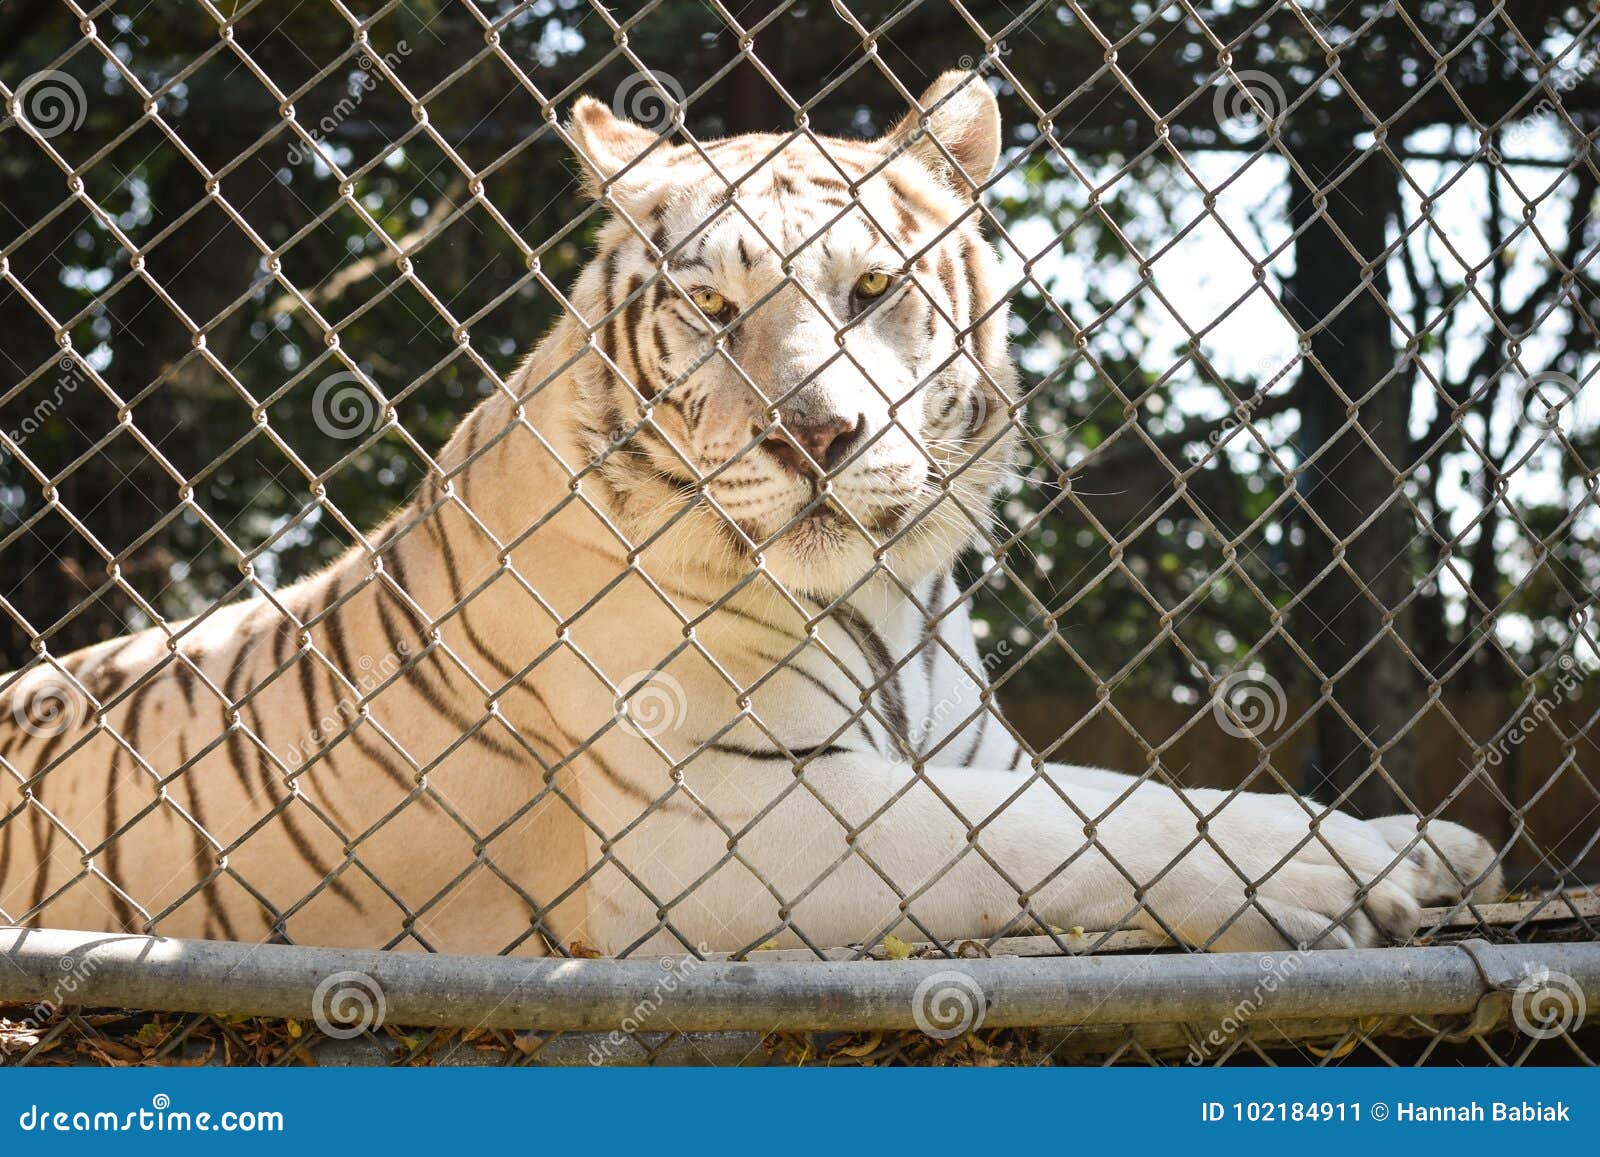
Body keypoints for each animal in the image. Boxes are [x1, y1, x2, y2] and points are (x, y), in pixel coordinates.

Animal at [0, 72, 1501, 959]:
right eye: (717, 307)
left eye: (872, 287)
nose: (815, 434)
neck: (890, 586)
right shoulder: (713, 816)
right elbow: (1074, 827)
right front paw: (1339, 876)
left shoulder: (966, 747)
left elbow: (1101, 801)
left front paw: (1425, 846)